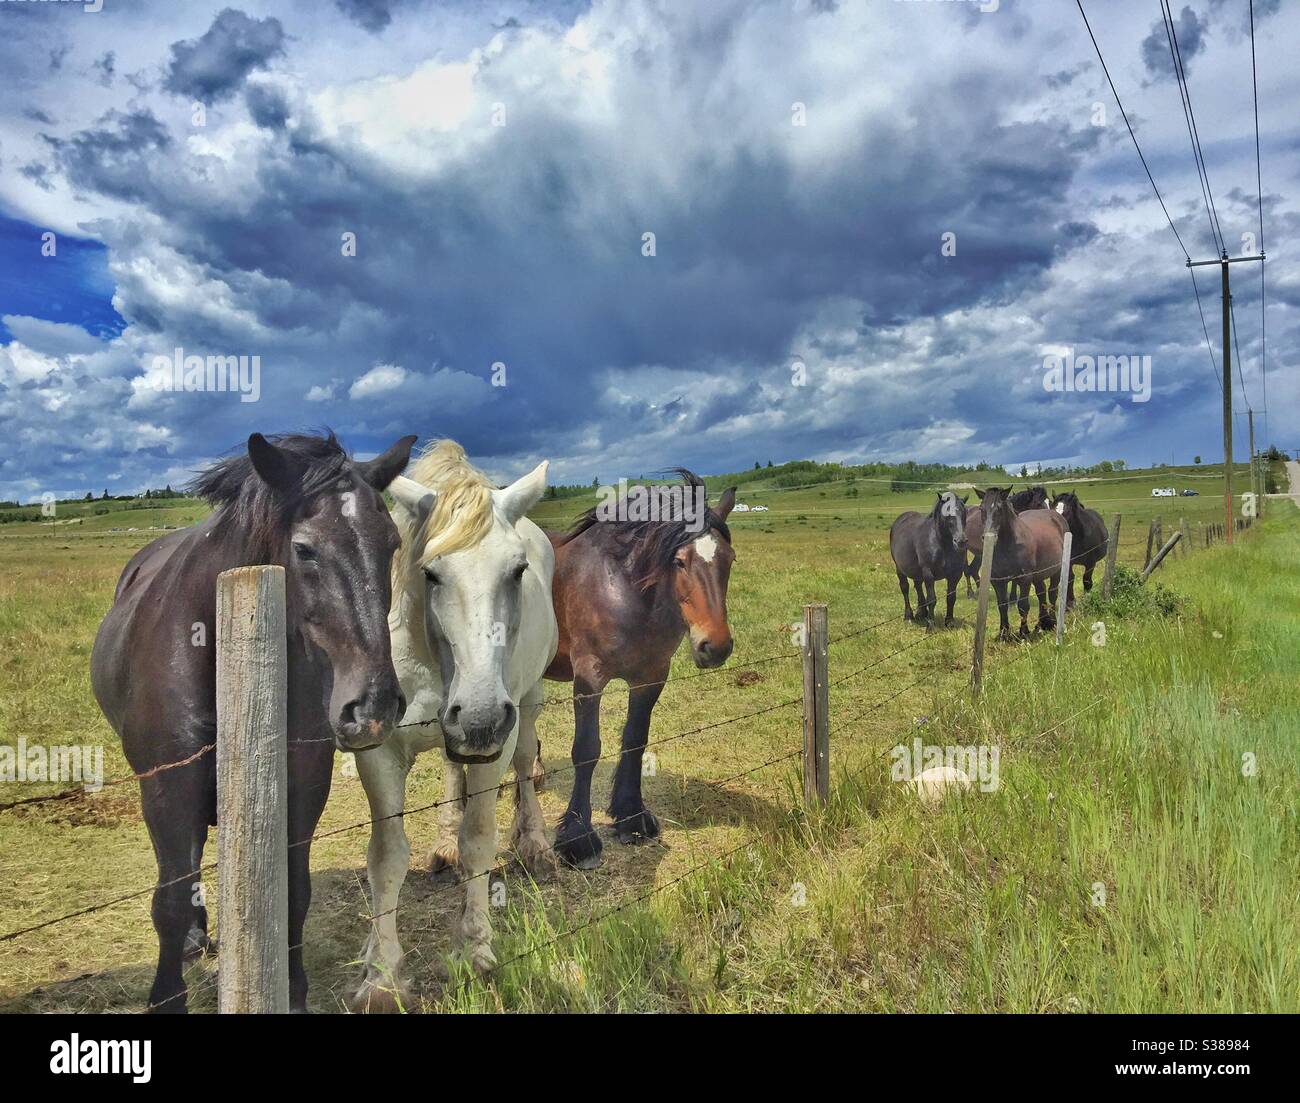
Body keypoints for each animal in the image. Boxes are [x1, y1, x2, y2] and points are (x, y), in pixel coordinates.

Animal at [90, 431, 415, 1013]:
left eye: (392, 545)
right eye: (305, 549)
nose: (373, 708)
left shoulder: (303, 783)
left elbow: (295, 892)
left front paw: (294, 993)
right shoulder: (169, 787)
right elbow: (169, 901)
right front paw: (168, 995)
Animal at [349, 441, 557, 1010]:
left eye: (517, 570)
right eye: (430, 573)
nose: (481, 717)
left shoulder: (496, 742)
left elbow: (480, 839)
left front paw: (476, 948)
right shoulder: (379, 750)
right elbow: (386, 857)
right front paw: (381, 974)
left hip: (527, 704)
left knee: (526, 766)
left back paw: (535, 844)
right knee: (448, 769)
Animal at [544, 471, 737, 868]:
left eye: (730, 558)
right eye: (679, 561)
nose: (716, 646)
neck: (624, 591)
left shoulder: (651, 676)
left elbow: (635, 739)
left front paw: (631, 818)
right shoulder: (589, 677)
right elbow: (586, 748)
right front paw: (578, 839)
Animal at [889, 491, 968, 626]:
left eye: (965, 512)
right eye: (947, 513)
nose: (961, 541)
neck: (942, 544)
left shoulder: (955, 574)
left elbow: (951, 597)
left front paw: (949, 622)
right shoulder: (928, 573)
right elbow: (932, 599)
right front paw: (930, 625)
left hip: (917, 572)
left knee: (918, 587)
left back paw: (921, 613)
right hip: (900, 569)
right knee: (905, 588)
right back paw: (909, 616)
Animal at [973, 486, 1067, 641]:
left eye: (1000, 509)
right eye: (981, 508)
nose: (988, 538)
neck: (1008, 545)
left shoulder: (1025, 579)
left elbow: (1023, 605)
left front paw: (1024, 632)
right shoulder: (997, 580)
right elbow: (1002, 605)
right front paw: (1003, 634)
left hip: (1056, 571)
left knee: (1052, 593)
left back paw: (1052, 623)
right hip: (1038, 576)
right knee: (1041, 592)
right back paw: (1042, 623)